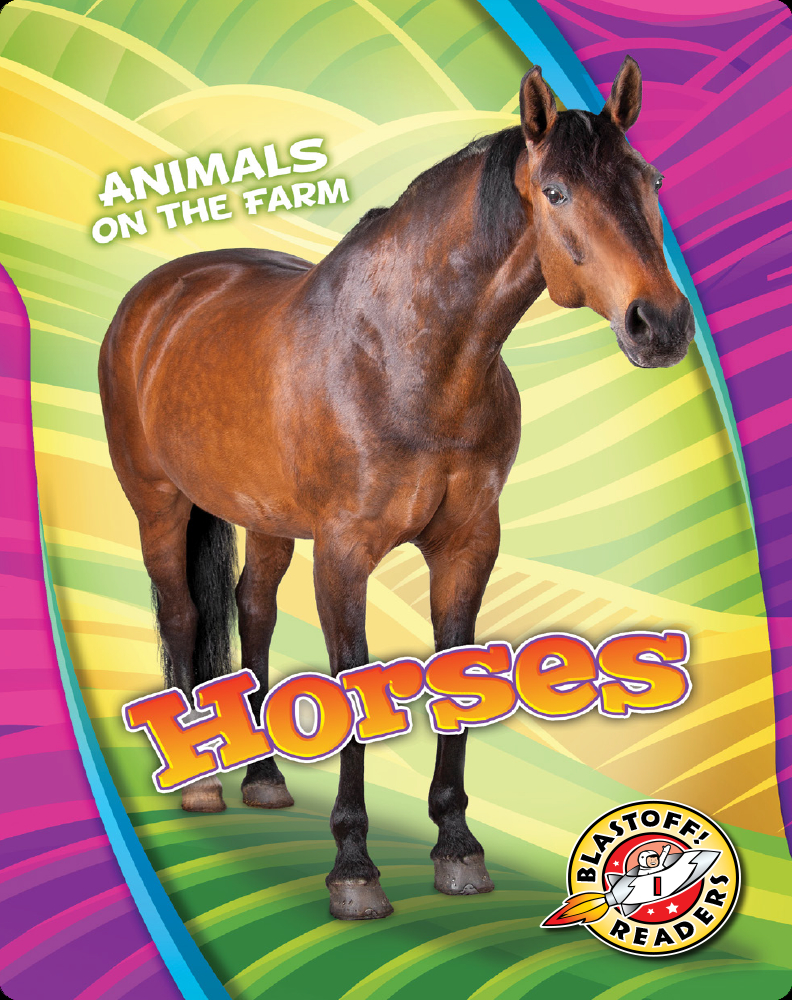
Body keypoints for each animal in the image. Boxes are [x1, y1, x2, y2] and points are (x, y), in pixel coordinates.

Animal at [99, 56, 694, 921]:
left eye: (649, 180)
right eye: (555, 191)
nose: (662, 324)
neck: (411, 356)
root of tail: (158, 295)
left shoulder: (468, 546)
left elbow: (458, 676)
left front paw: (457, 848)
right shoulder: (344, 554)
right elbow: (351, 687)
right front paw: (354, 868)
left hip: (265, 519)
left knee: (252, 609)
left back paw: (265, 778)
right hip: (159, 503)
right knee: (182, 615)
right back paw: (203, 785)